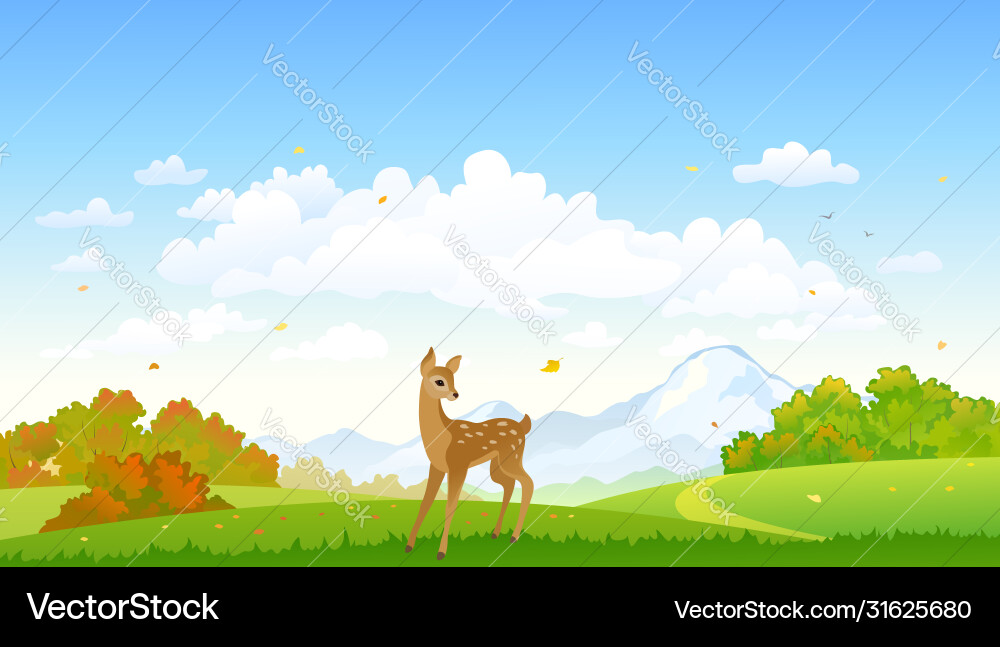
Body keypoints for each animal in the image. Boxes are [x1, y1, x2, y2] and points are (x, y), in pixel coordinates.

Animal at [404, 347, 534, 559]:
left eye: (453, 378)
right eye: (439, 381)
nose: (455, 394)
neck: (441, 437)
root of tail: (523, 426)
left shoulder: (458, 464)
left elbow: (450, 505)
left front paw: (441, 552)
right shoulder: (437, 466)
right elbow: (426, 502)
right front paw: (409, 546)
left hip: (513, 457)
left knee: (528, 482)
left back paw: (514, 537)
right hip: (497, 464)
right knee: (509, 484)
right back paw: (496, 533)